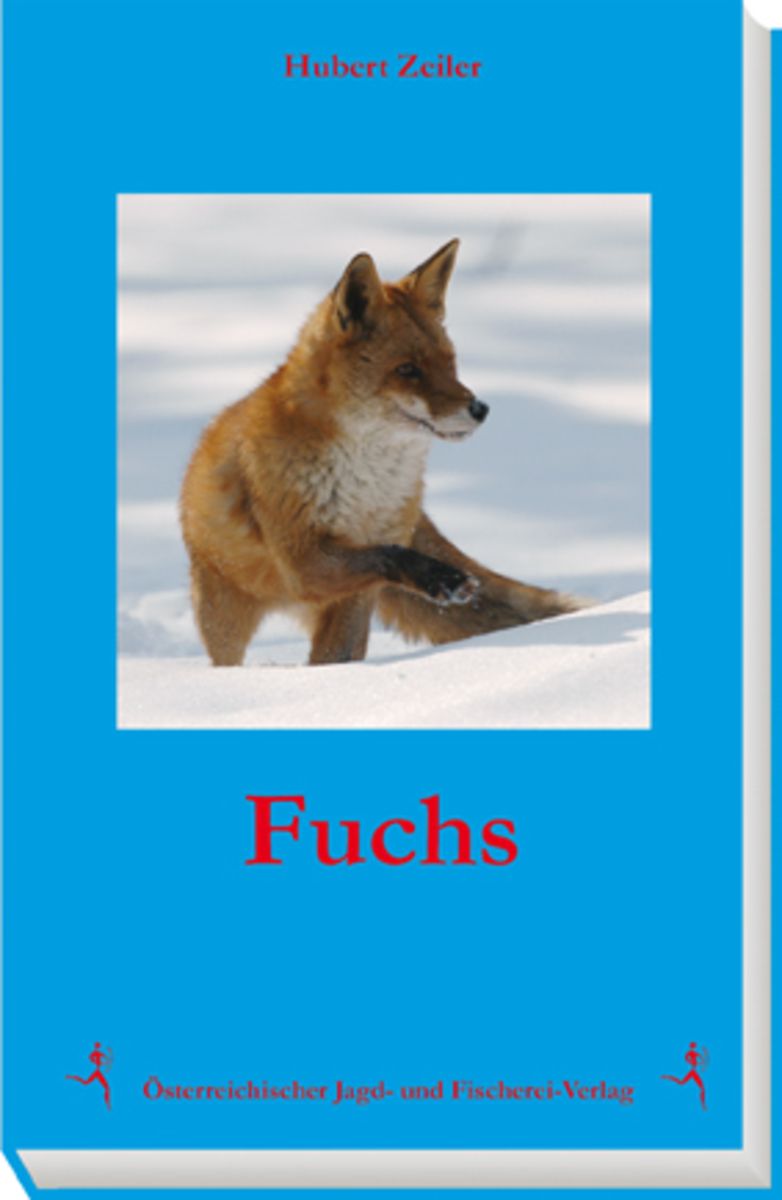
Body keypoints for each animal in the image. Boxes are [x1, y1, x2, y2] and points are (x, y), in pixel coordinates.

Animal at [180, 239, 581, 667]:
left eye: (450, 362)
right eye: (407, 370)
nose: (480, 409)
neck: (366, 486)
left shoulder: (361, 582)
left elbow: (345, 640)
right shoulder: (304, 561)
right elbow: (389, 556)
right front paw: (438, 577)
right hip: (222, 613)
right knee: (226, 659)